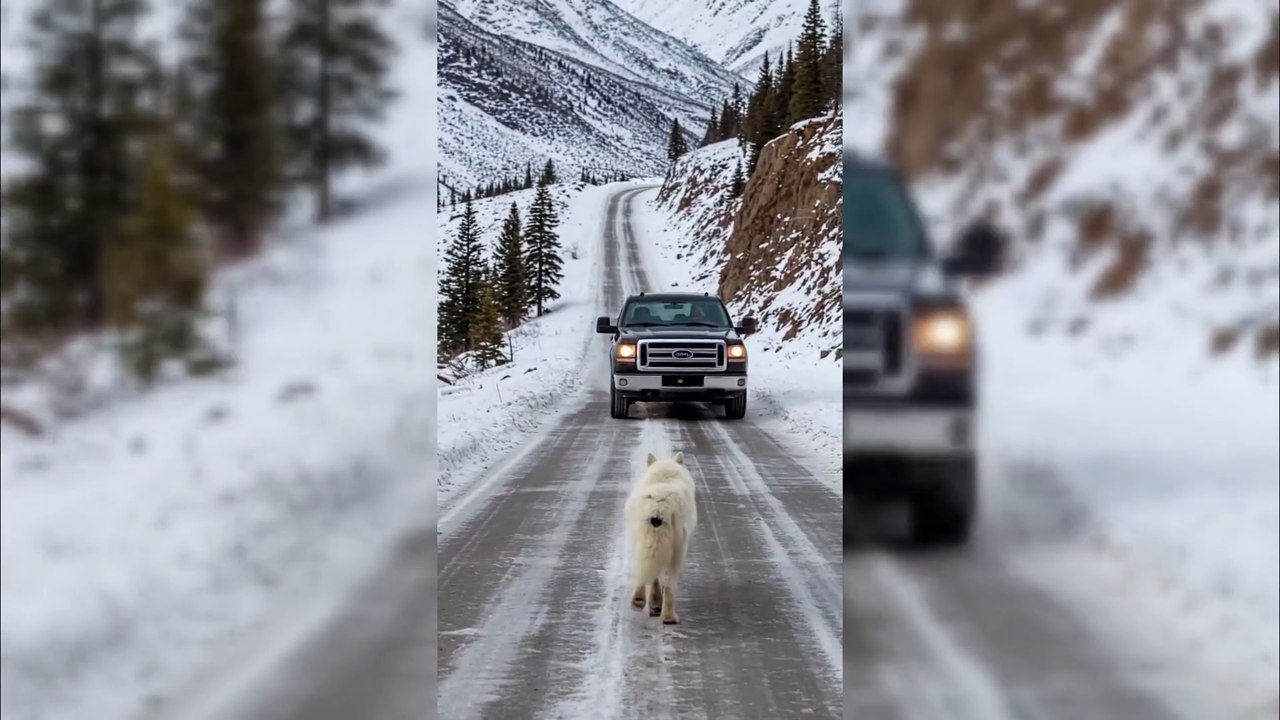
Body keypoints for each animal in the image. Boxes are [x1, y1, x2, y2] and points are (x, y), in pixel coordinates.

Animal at [625, 451, 697, 624]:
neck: (665, 477)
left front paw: (655, 605)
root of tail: (659, 505)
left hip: (641, 539)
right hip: (679, 549)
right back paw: (668, 616)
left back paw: (640, 600)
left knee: (645, 571)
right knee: (670, 584)